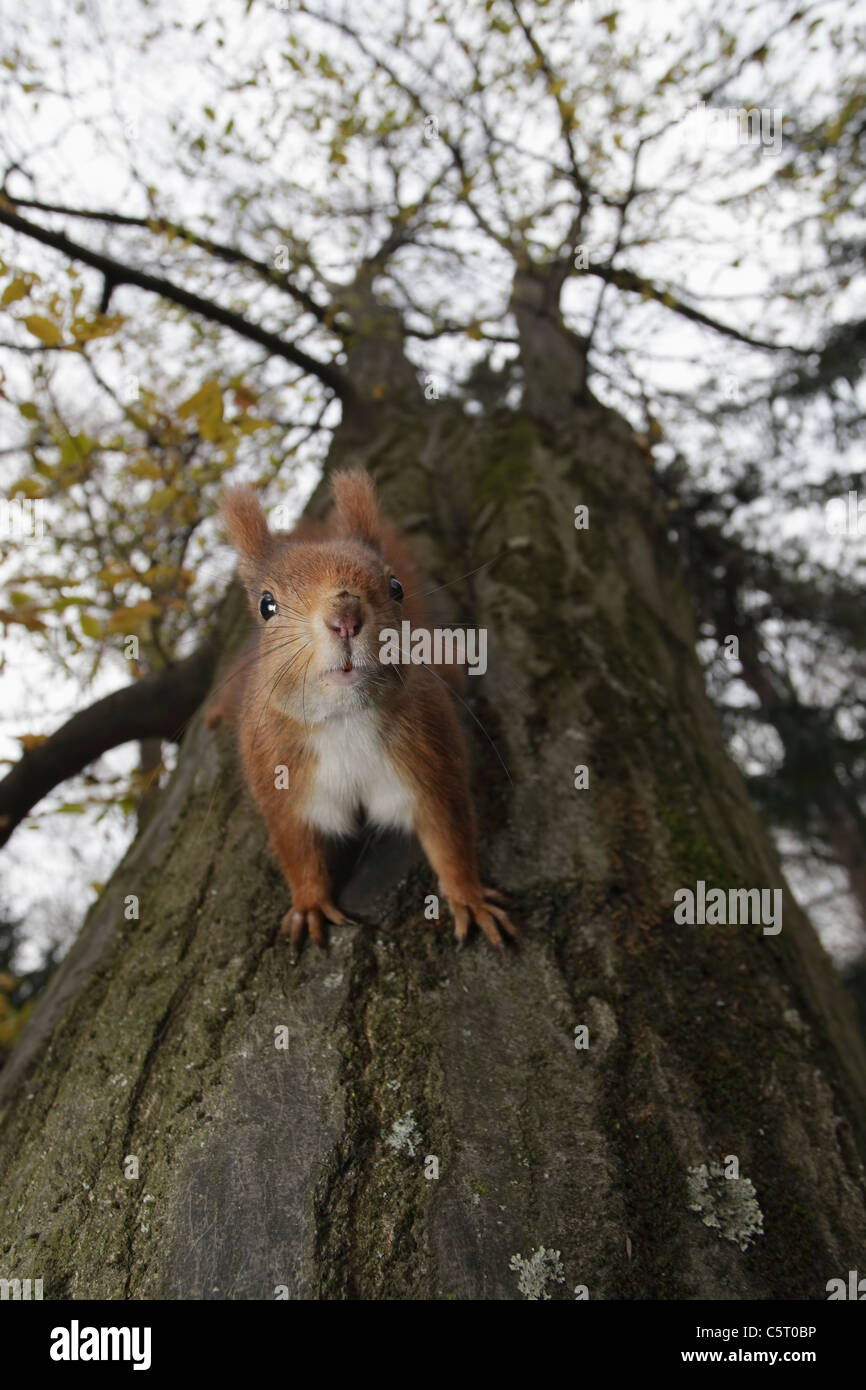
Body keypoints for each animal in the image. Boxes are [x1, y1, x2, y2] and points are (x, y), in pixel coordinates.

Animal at [206, 469, 519, 953]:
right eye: (266, 604)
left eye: (396, 587)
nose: (346, 616)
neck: (345, 721)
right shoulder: (284, 785)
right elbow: (297, 849)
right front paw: (309, 904)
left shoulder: (428, 762)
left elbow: (449, 835)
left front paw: (469, 897)